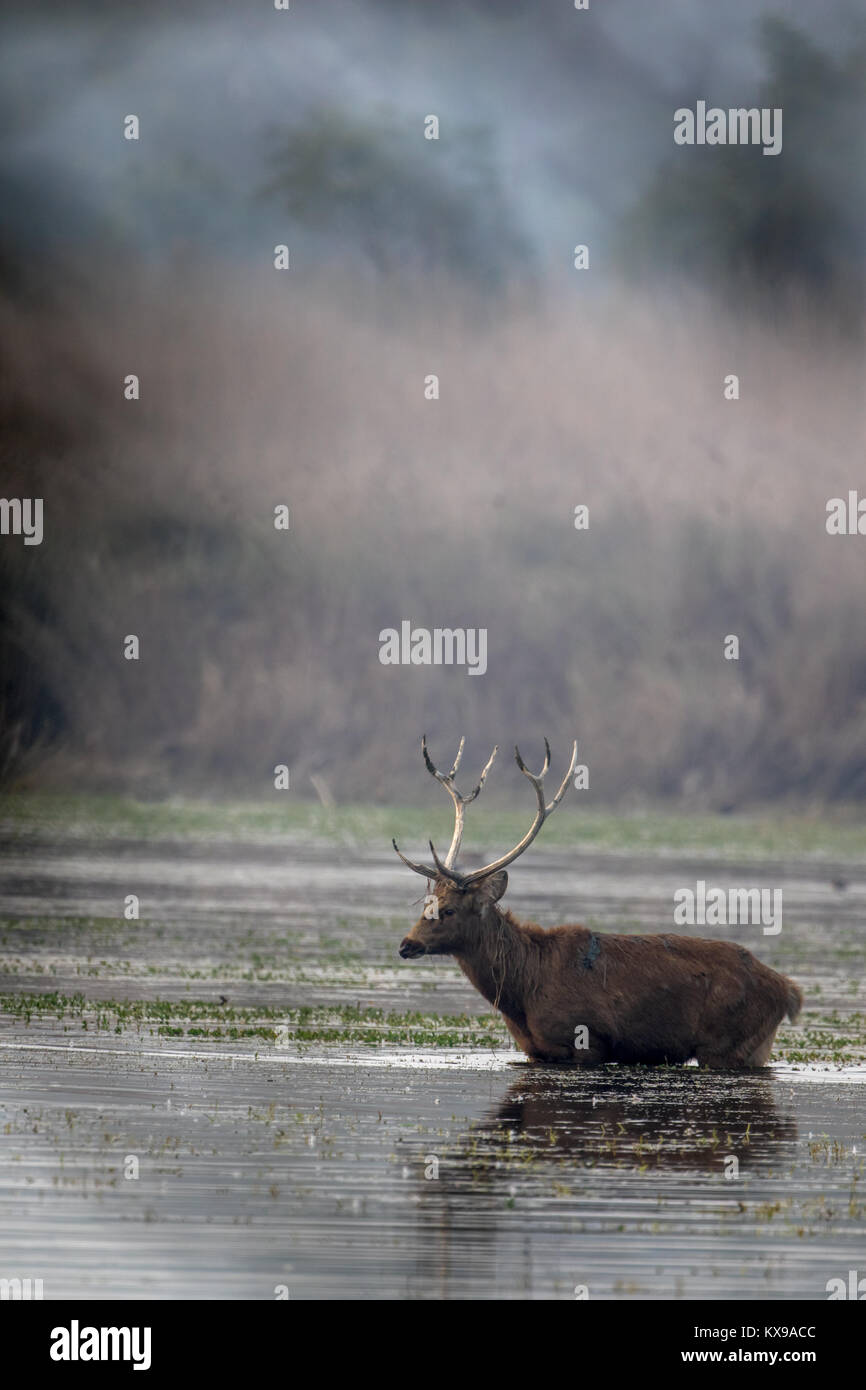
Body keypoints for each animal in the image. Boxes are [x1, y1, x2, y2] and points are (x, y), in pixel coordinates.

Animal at [394, 737, 803, 1068]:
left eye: (448, 910)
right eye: (424, 903)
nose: (406, 945)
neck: (525, 989)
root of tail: (788, 991)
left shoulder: (587, 1040)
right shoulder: (535, 1051)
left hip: (729, 1045)